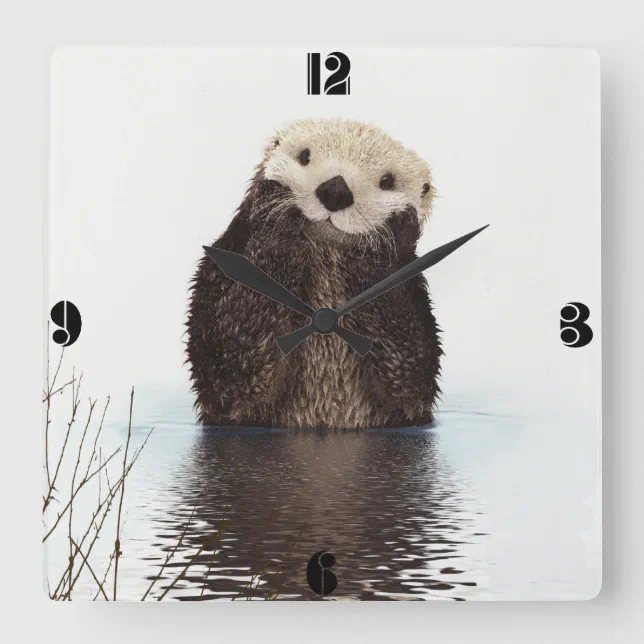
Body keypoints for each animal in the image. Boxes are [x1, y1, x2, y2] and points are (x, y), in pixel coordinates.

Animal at [186, 119, 442, 429]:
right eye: (304, 156)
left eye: (387, 181)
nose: (336, 191)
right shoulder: (219, 275)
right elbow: (233, 370)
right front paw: (278, 212)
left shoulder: (416, 310)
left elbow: (409, 378)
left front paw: (384, 239)